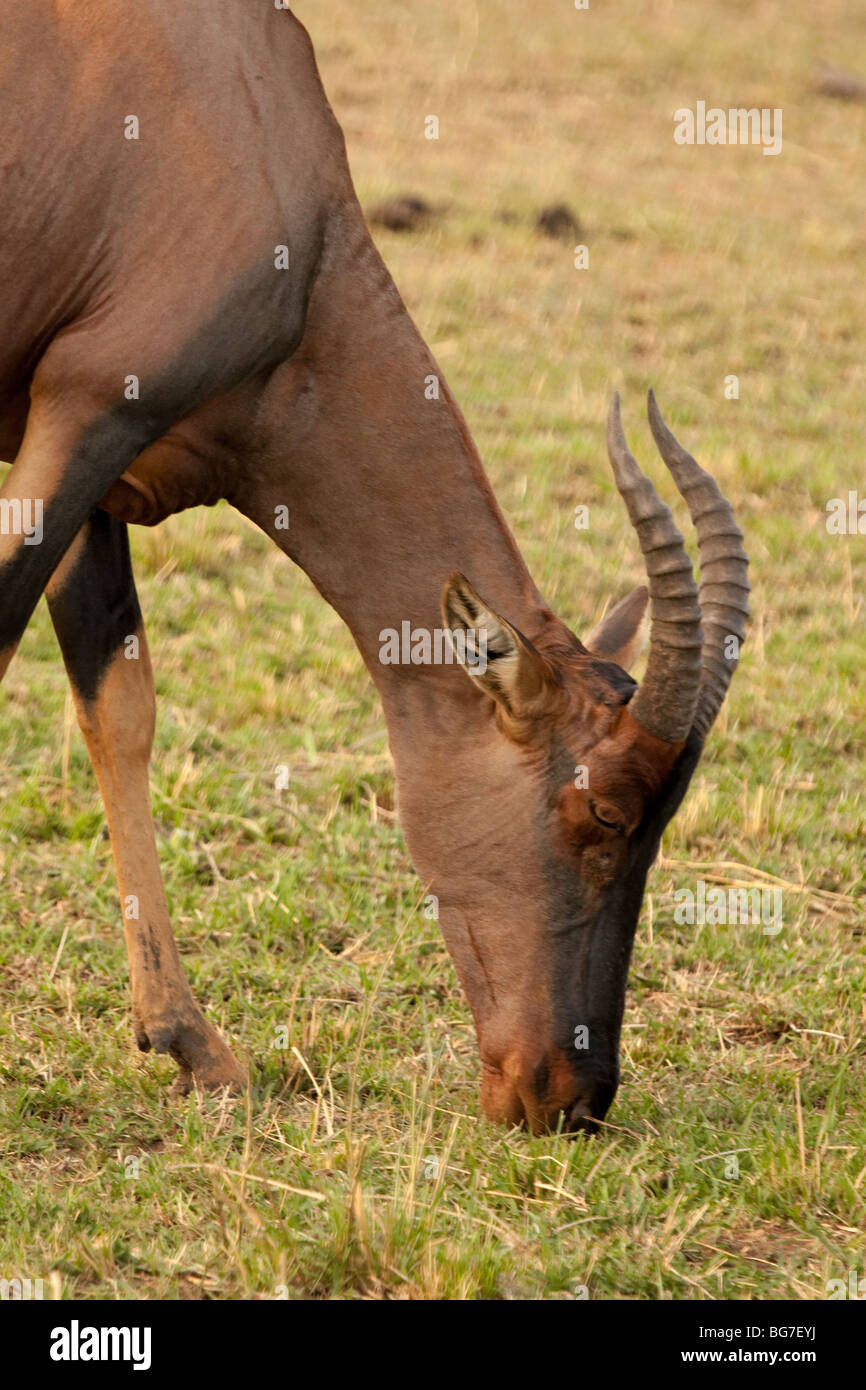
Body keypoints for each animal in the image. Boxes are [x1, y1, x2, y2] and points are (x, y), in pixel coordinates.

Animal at [0, 2, 748, 1133]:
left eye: (662, 823)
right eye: (605, 814)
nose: (569, 1097)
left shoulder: (92, 451)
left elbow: (119, 709)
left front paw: (193, 1046)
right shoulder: (86, 412)